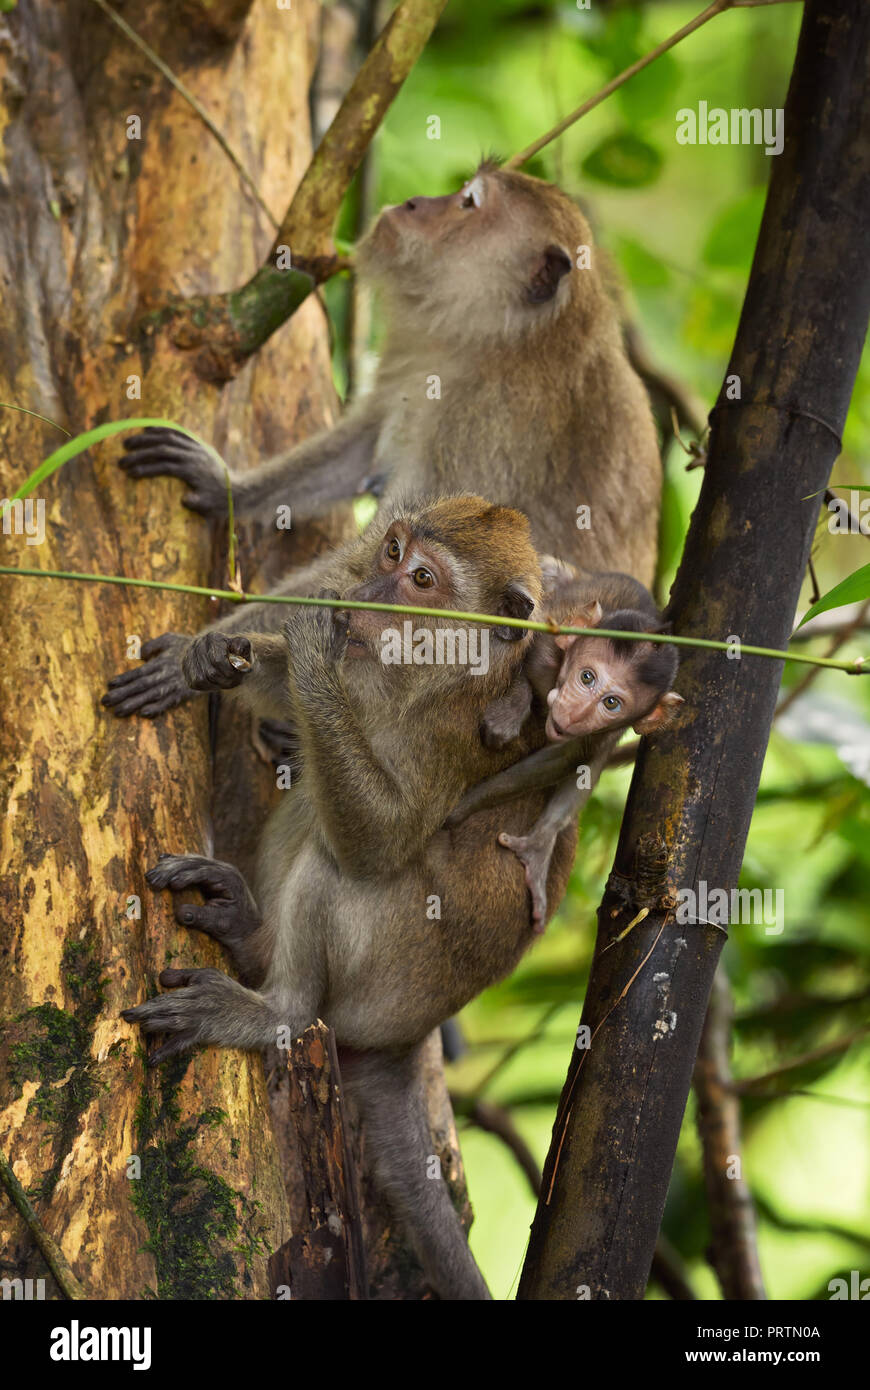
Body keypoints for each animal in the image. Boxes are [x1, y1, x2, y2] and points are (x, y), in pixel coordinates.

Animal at [102, 159, 660, 720]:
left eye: (469, 203)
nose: (415, 202)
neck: (505, 339)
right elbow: (363, 455)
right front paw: (224, 486)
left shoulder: (482, 425)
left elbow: (388, 552)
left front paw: (190, 656)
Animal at [120, 498, 578, 1301]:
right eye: (391, 551)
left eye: (422, 579)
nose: (363, 590)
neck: (425, 674)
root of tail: (403, 1039)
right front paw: (210, 658)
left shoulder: (448, 730)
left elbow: (379, 842)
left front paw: (304, 647)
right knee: (312, 797)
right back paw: (249, 931)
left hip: (379, 983)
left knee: (339, 865)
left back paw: (275, 1011)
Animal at [447, 561, 683, 931]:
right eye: (587, 677)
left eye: (612, 703)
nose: (575, 713)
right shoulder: (549, 642)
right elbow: (529, 661)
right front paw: (510, 710)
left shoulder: (605, 730)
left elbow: (574, 760)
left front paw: (537, 845)